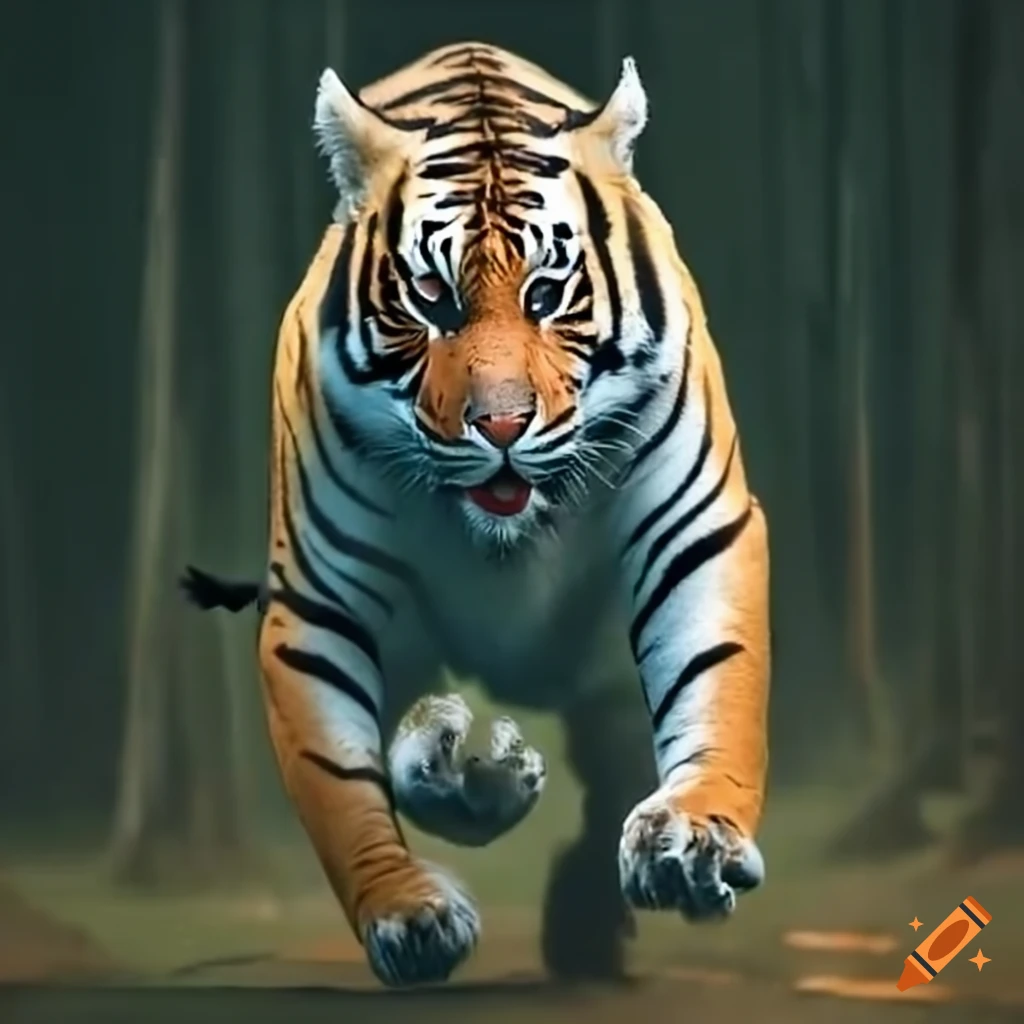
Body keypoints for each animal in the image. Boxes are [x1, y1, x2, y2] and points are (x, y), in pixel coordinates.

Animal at [183, 41, 770, 988]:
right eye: (431, 299)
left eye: (548, 293)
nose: (500, 424)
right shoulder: (322, 601)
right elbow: (338, 776)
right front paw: (406, 910)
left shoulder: (694, 531)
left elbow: (717, 687)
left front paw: (696, 840)